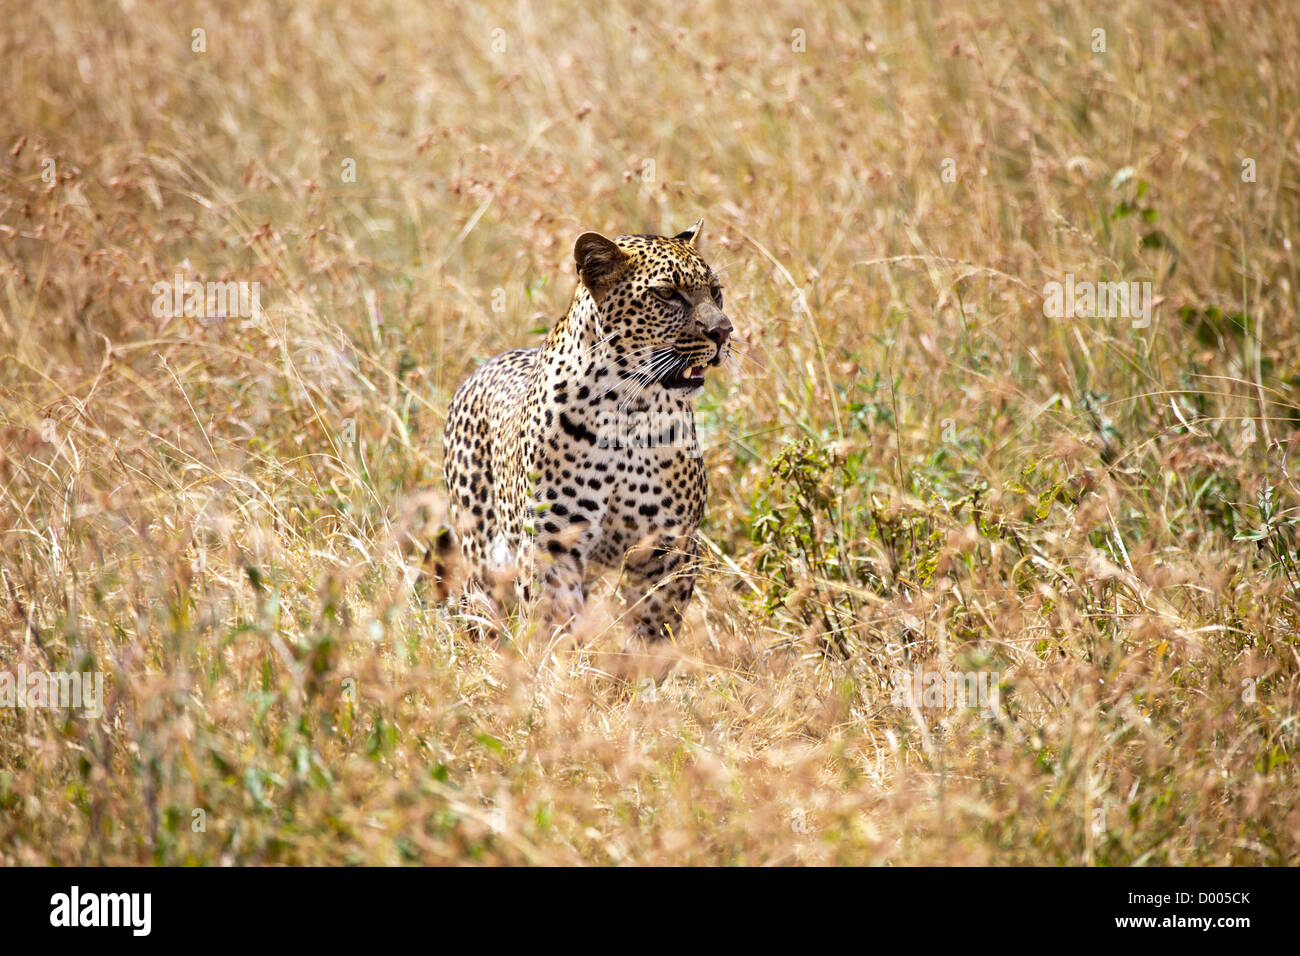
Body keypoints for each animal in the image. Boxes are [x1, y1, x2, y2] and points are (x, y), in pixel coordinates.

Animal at [442, 220, 733, 640]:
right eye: (666, 294)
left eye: (716, 291)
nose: (724, 332)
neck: (631, 410)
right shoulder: (553, 546)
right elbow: (554, 624)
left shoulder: (668, 549)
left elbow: (654, 625)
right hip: (482, 558)